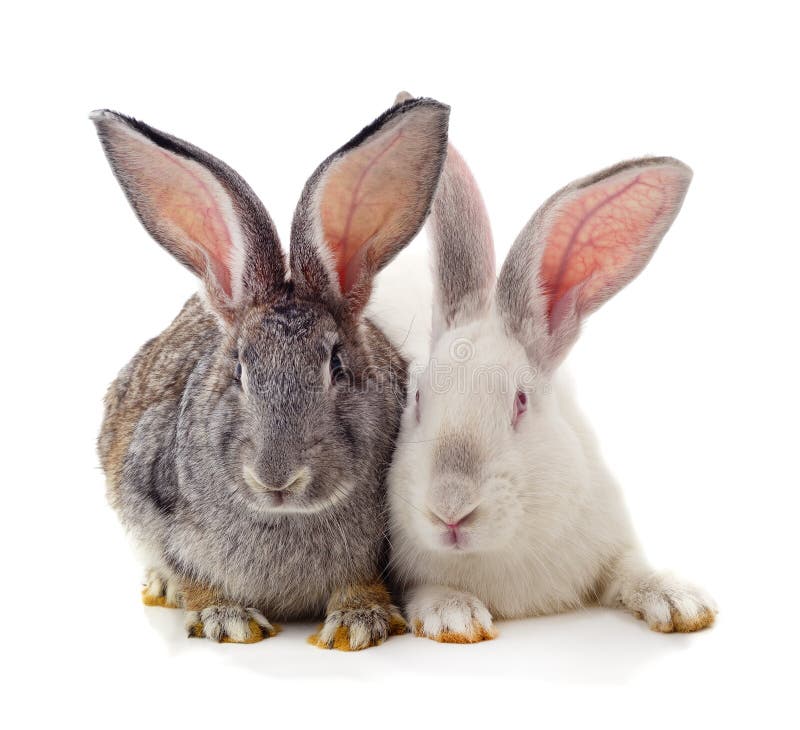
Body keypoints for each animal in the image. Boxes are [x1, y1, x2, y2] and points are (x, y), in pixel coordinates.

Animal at [92, 95, 450, 649]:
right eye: (238, 369)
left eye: (337, 366)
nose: (276, 477)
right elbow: (193, 574)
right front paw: (226, 618)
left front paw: (358, 621)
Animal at [379, 129, 718, 642]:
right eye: (416, 398)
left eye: (521, 401)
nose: (450, 509)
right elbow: (426, 588)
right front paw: (454, 615)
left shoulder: (610, 536)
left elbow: (631, 567)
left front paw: (680, 601)